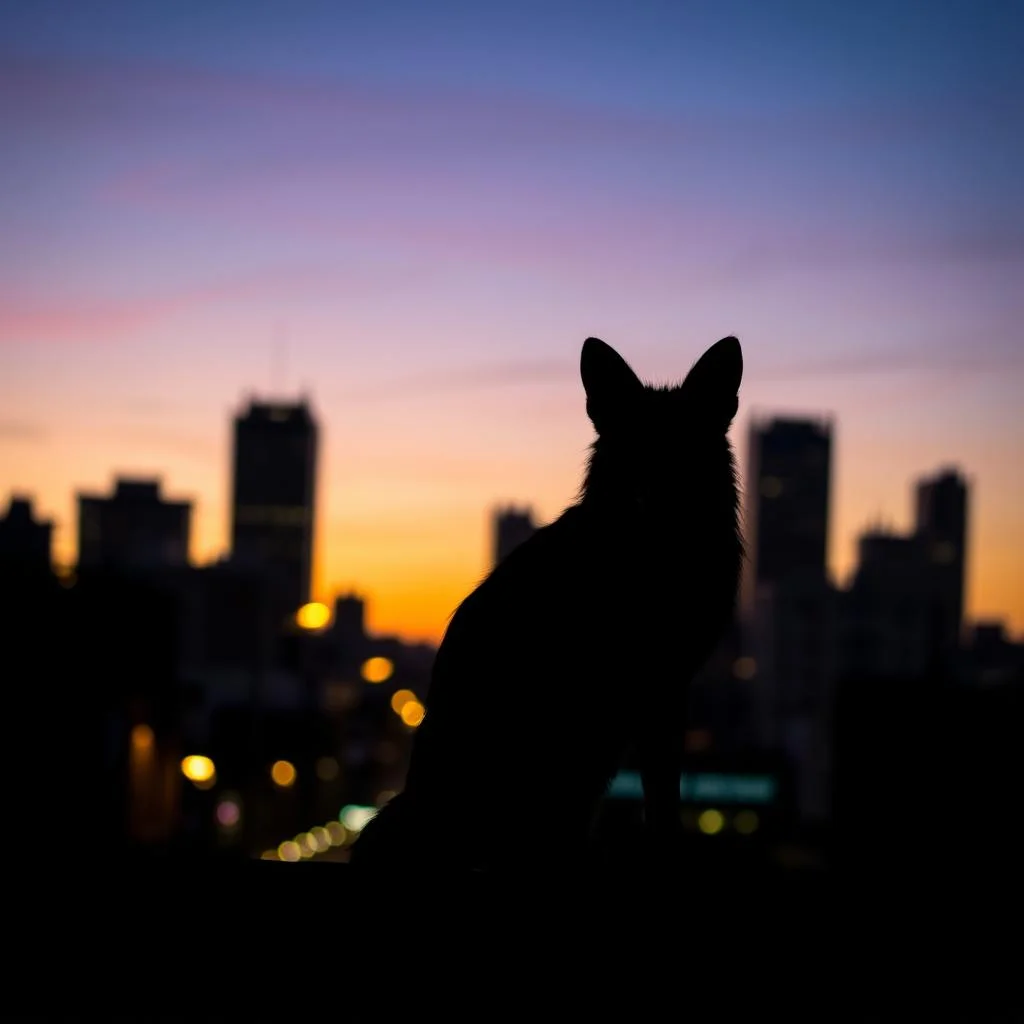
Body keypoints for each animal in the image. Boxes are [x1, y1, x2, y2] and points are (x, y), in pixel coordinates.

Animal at [349, 335, 744, 874]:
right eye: (631, 451)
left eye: (683, 450)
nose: (650, 497)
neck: (654, 546)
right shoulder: (653, 685)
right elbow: (661, 793)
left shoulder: (667, 686)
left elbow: (663, 791)